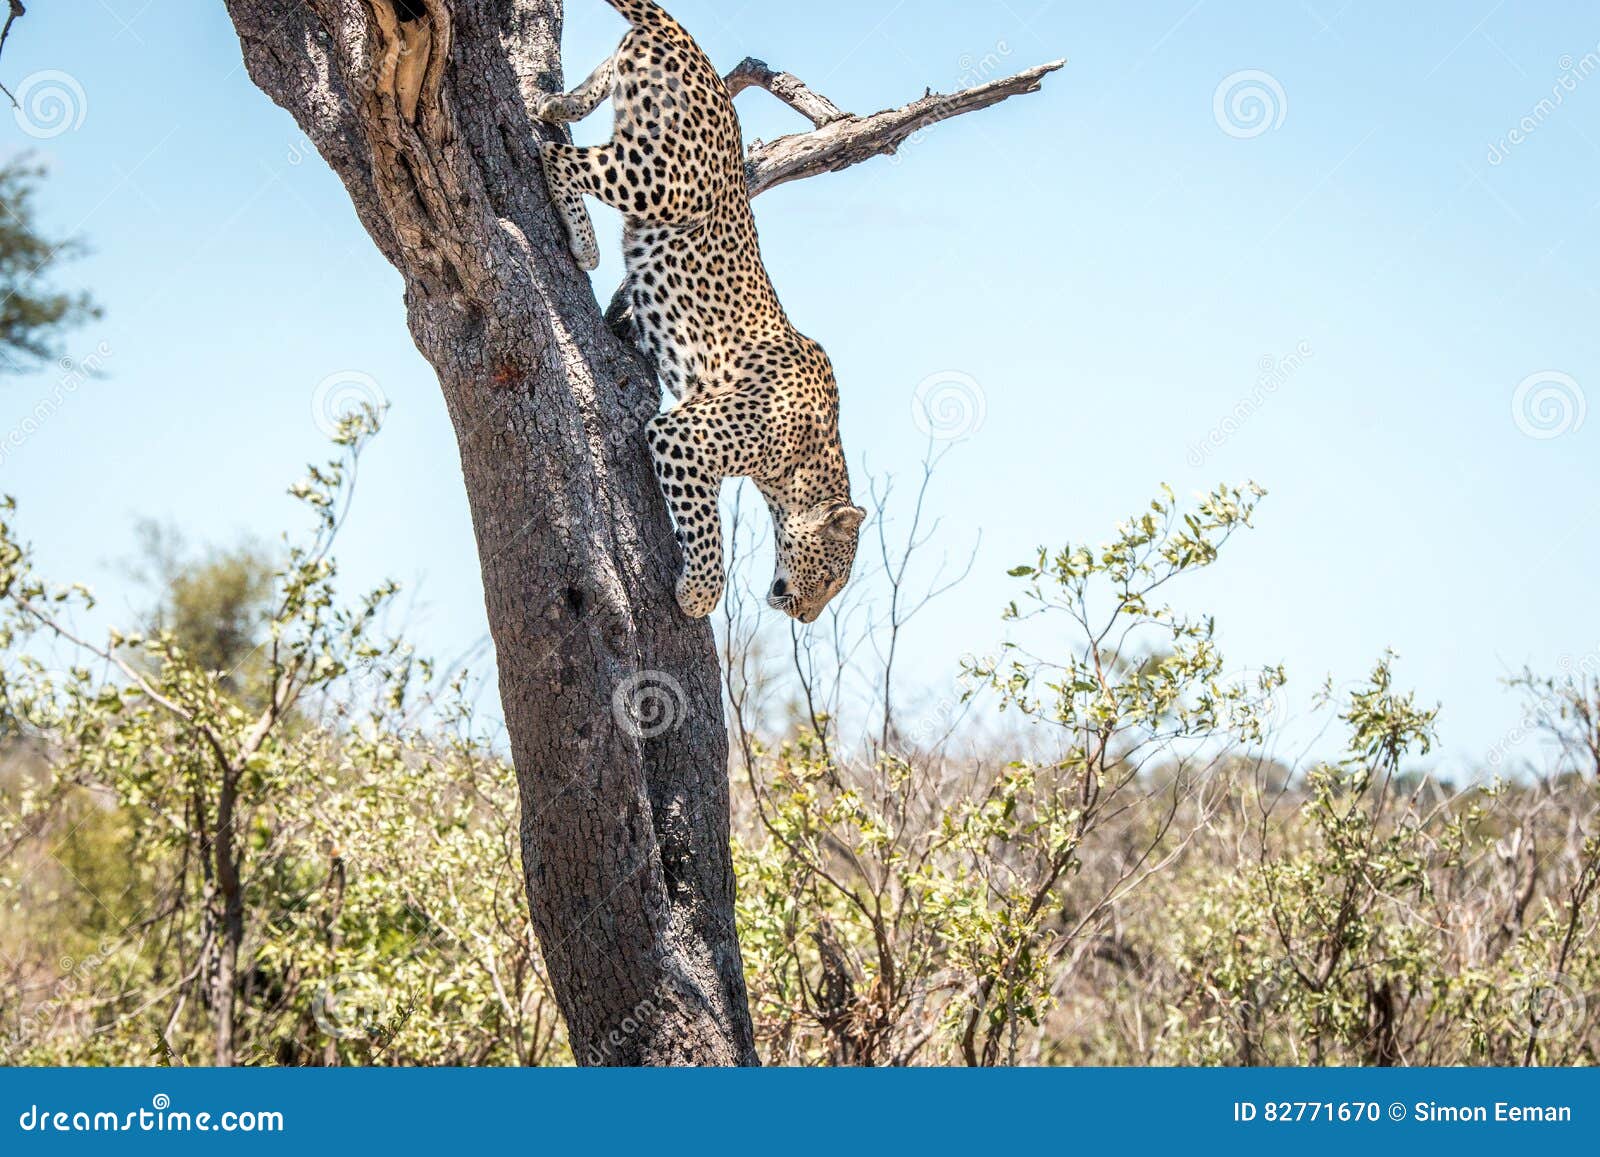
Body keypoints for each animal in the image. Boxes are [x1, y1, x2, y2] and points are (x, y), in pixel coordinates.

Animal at [534, 0, 865, 624]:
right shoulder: (682, 434)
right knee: (559, 156)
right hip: (660, 178)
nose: (806, 618)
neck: (804, 464)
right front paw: (699, 595)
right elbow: (709, 534)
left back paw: (556, 104)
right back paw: (584, 241)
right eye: (834, 577)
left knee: (579, 106)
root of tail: (686, 41)